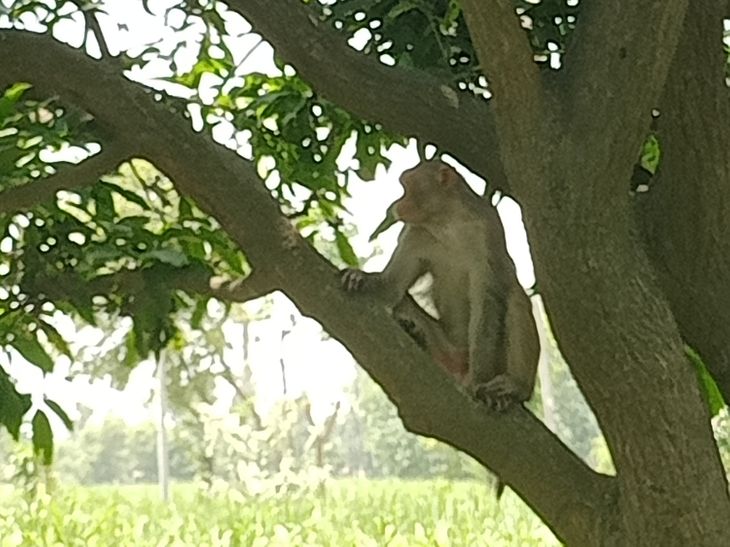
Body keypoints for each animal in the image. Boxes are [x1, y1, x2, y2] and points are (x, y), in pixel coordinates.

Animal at [342, 160, 539, 410]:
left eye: (407, 185)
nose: (397, 203)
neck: (447, 222)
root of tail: (459, 362)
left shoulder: (488, 229)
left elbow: (487, 300)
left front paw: (477, 382)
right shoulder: (414, 231)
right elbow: (392, 287)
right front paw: (361, 278)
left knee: (516, 298)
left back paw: (517, 386)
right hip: (444, 349)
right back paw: (414, 331)